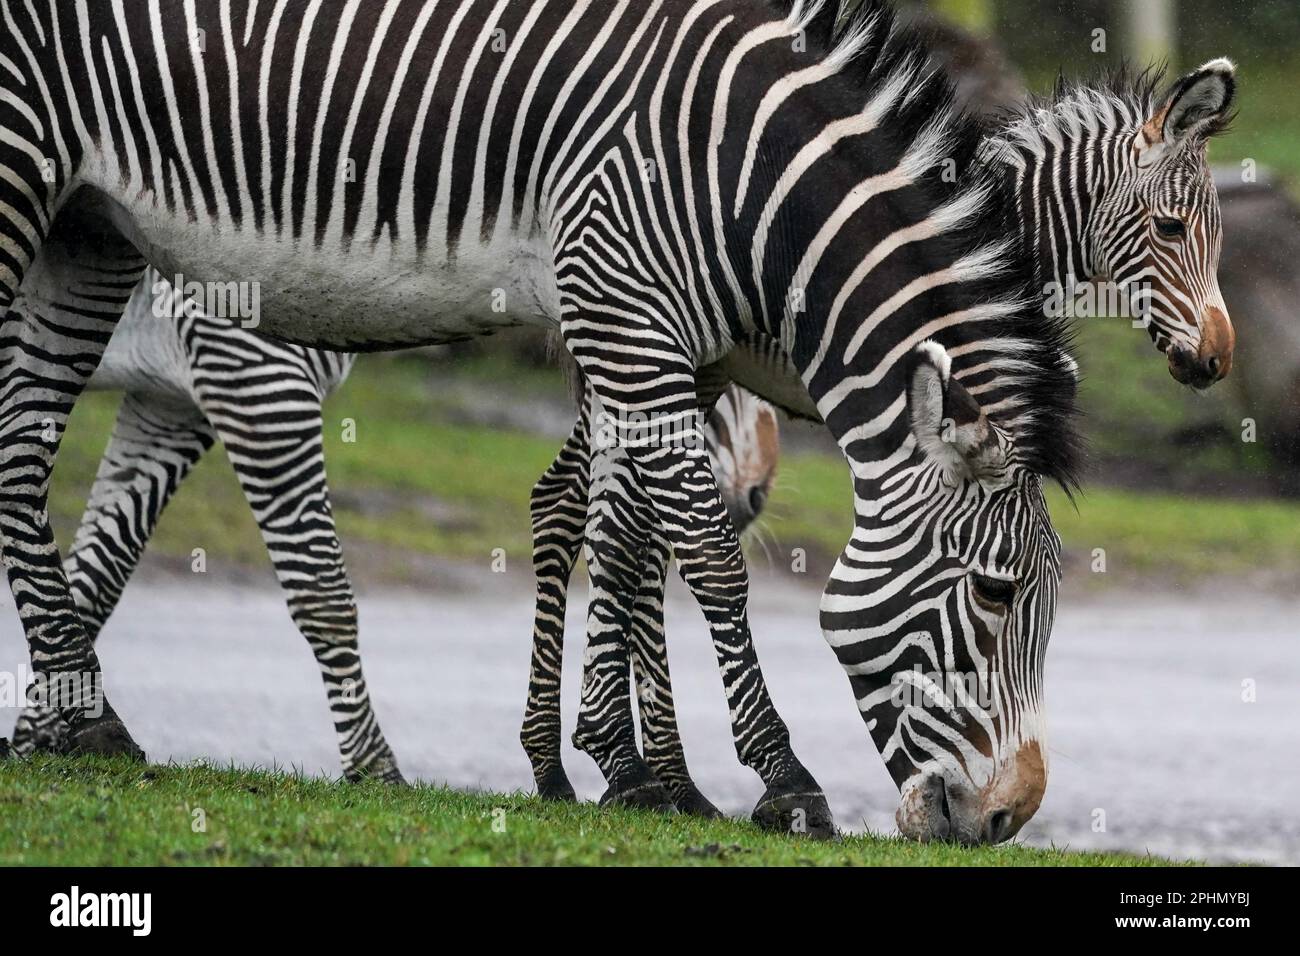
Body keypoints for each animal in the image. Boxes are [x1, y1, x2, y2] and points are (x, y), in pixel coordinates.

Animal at [7, 268, 779, 785]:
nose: (758, 490)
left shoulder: (172, 399)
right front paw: (376, 772)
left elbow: (97, 575)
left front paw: (45, 740)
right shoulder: (252, 369)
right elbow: (320, 588)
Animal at [521, 58, 1240, 824]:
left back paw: (580, 767)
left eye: (1216, 235)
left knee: (585, 510)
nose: (1215, 359)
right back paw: (621, 771)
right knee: (604, 519)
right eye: (1171, 228)